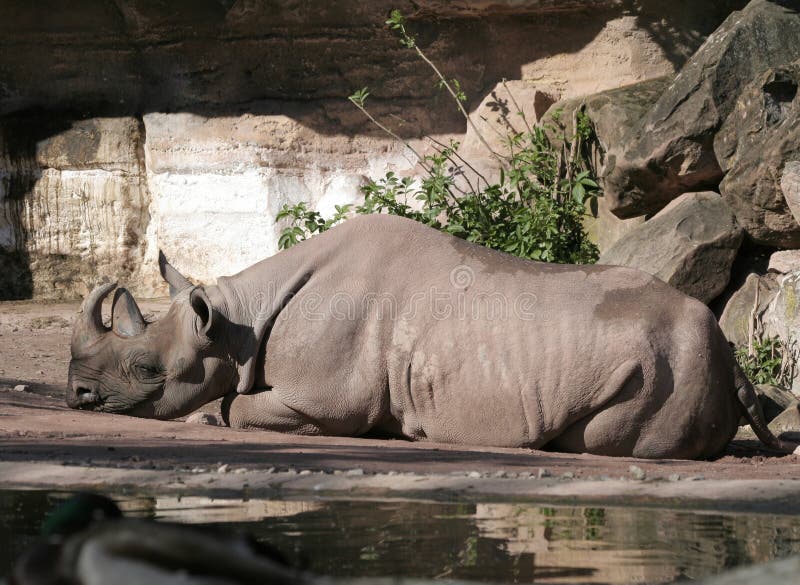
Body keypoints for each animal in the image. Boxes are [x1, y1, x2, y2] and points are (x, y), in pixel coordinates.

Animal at [67, 214, 793, 459]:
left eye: (146, 369)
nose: (76, 396)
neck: (238, 320)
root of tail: (729, 351)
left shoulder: (330, 400)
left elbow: (236, 406)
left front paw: (214, 417)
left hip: (672, 362)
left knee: (593, 439)